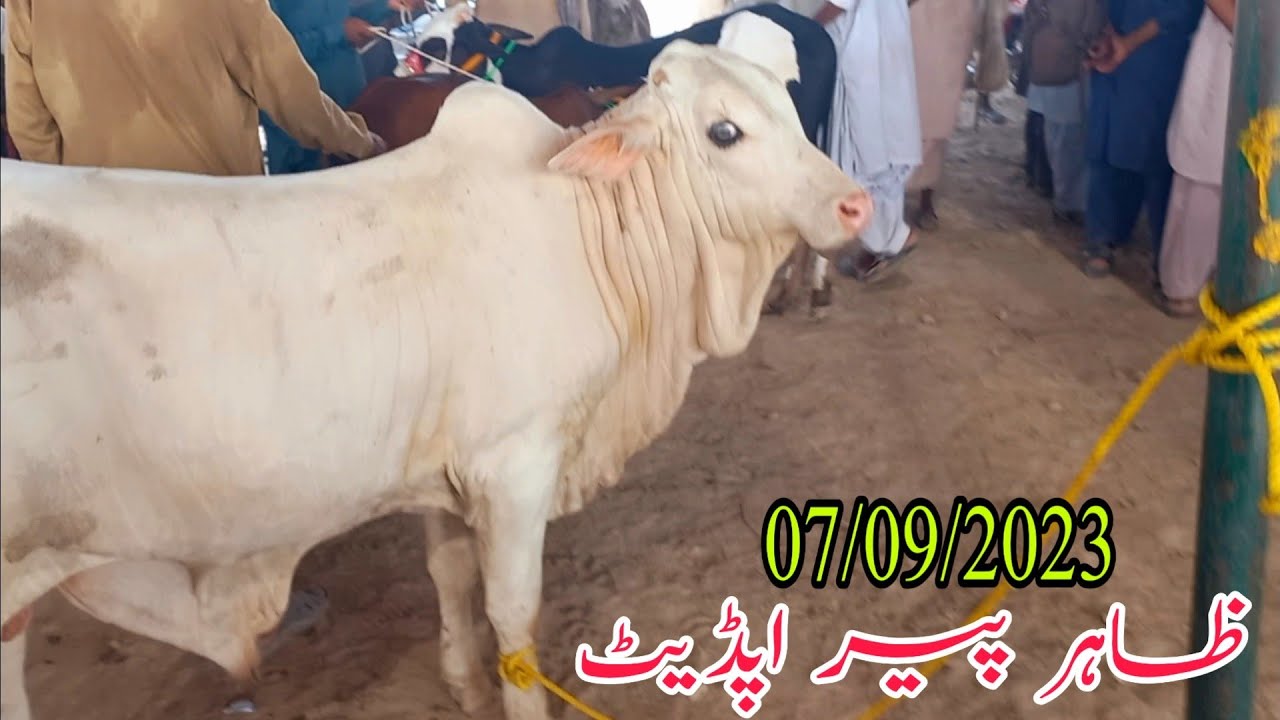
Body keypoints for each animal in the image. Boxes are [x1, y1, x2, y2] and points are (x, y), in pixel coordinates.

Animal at [0, 18, 871, 720]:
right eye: (724, 131)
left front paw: (466, 684)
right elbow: (515, 613)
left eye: (791, 103)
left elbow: (448, 575)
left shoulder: (440, 467)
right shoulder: (515, 465)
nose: (855, 204)